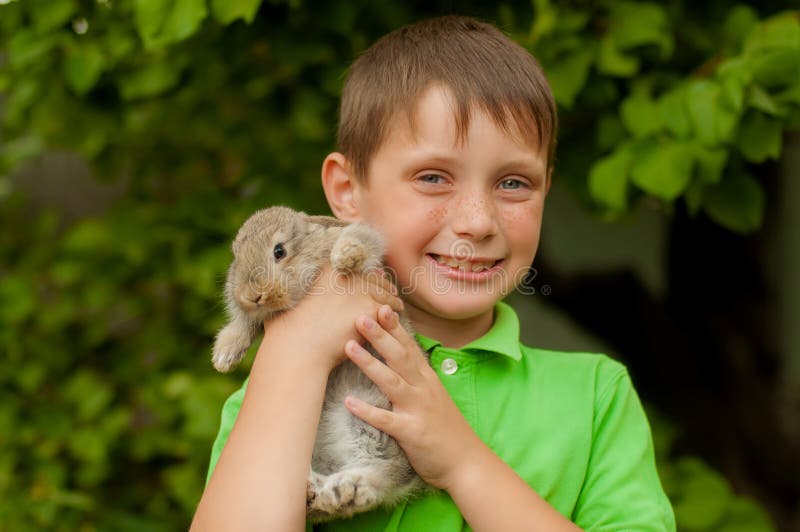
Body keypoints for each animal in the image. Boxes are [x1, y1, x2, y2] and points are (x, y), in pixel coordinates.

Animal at [212, 206, 428, 522]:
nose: (253, 295)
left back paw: (344, 488)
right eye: (236, 257)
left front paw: (344, 256)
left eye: (279, 251)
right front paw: (224, 356)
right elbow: (244, 323)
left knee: (382, 473)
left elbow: (360, 239)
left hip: (369, 416)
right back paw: (319, 493)